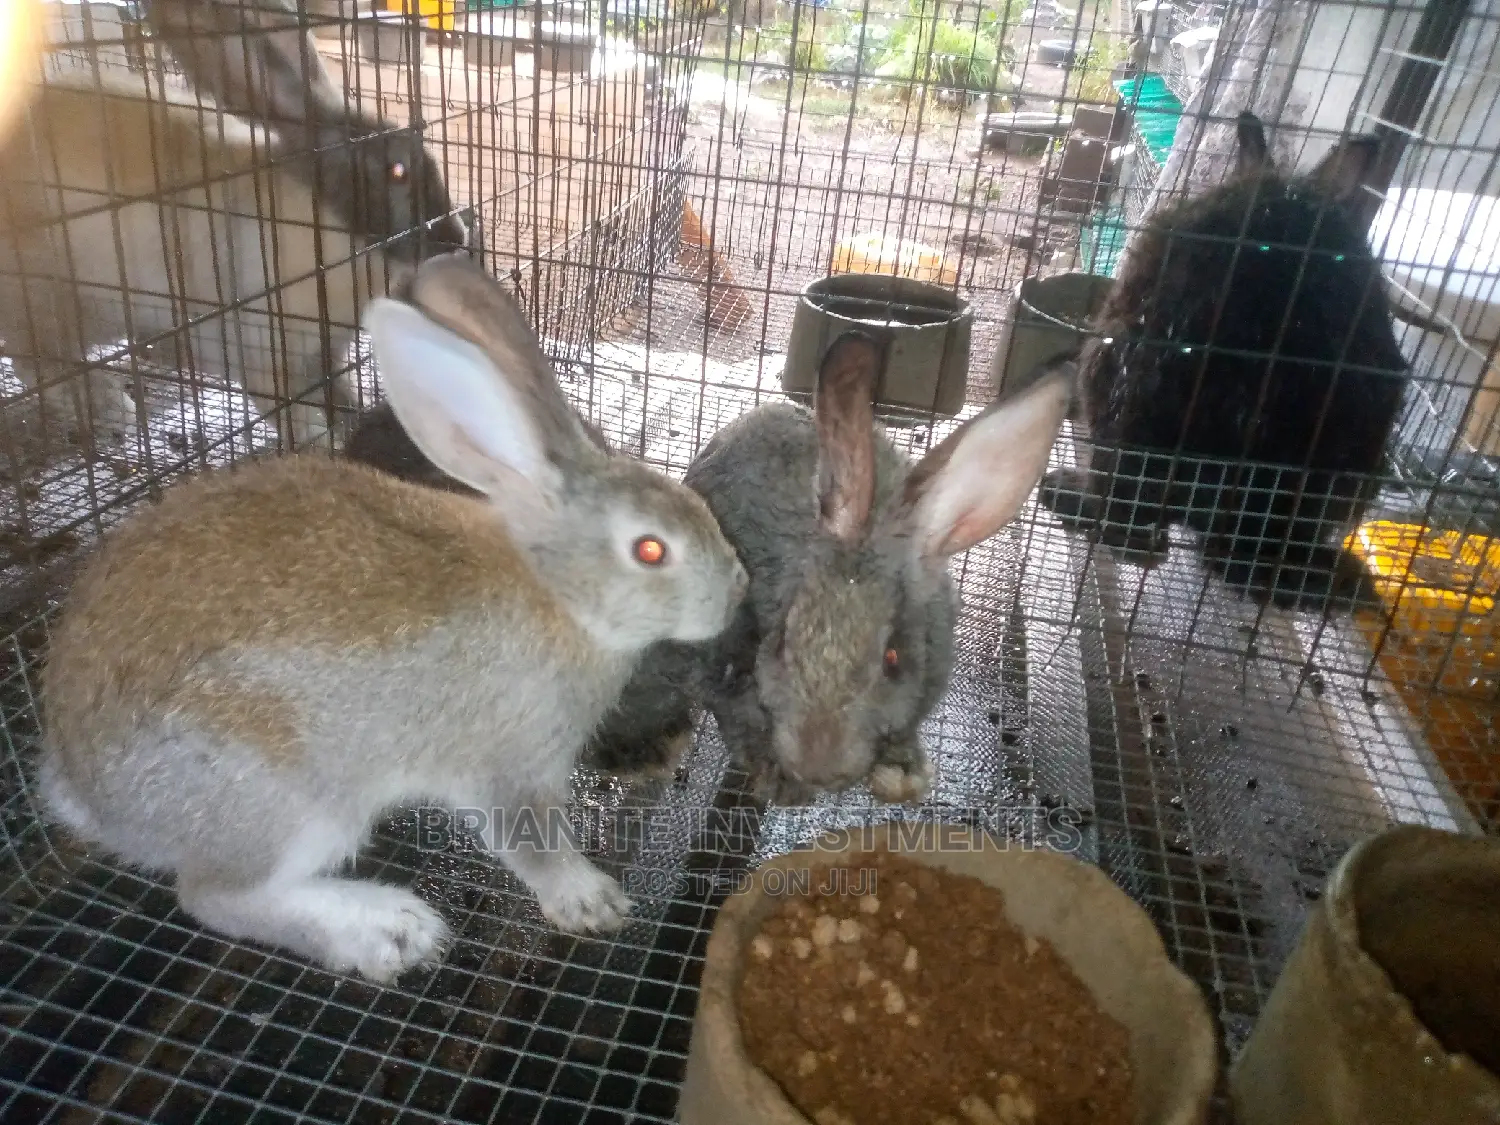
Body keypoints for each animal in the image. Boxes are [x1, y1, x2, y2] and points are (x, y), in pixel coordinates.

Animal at [0, 0, 468, 453]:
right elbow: (295, 415)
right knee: (36, 360)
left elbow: (340, 390)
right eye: (396, 171)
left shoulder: (327, 355)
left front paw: (356, 412)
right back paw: (115, 409)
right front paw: (320, 447)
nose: (456, 238)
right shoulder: (261, 359)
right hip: (53, 298)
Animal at [35, 251, 748, 983]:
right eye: (651, 549)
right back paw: (389, 929)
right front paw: (590, 901)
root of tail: (84, 791)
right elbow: (531, 843)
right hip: (293, 802)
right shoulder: (509, 766)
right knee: (215, 895)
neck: (554, 591)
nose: (736, 589)